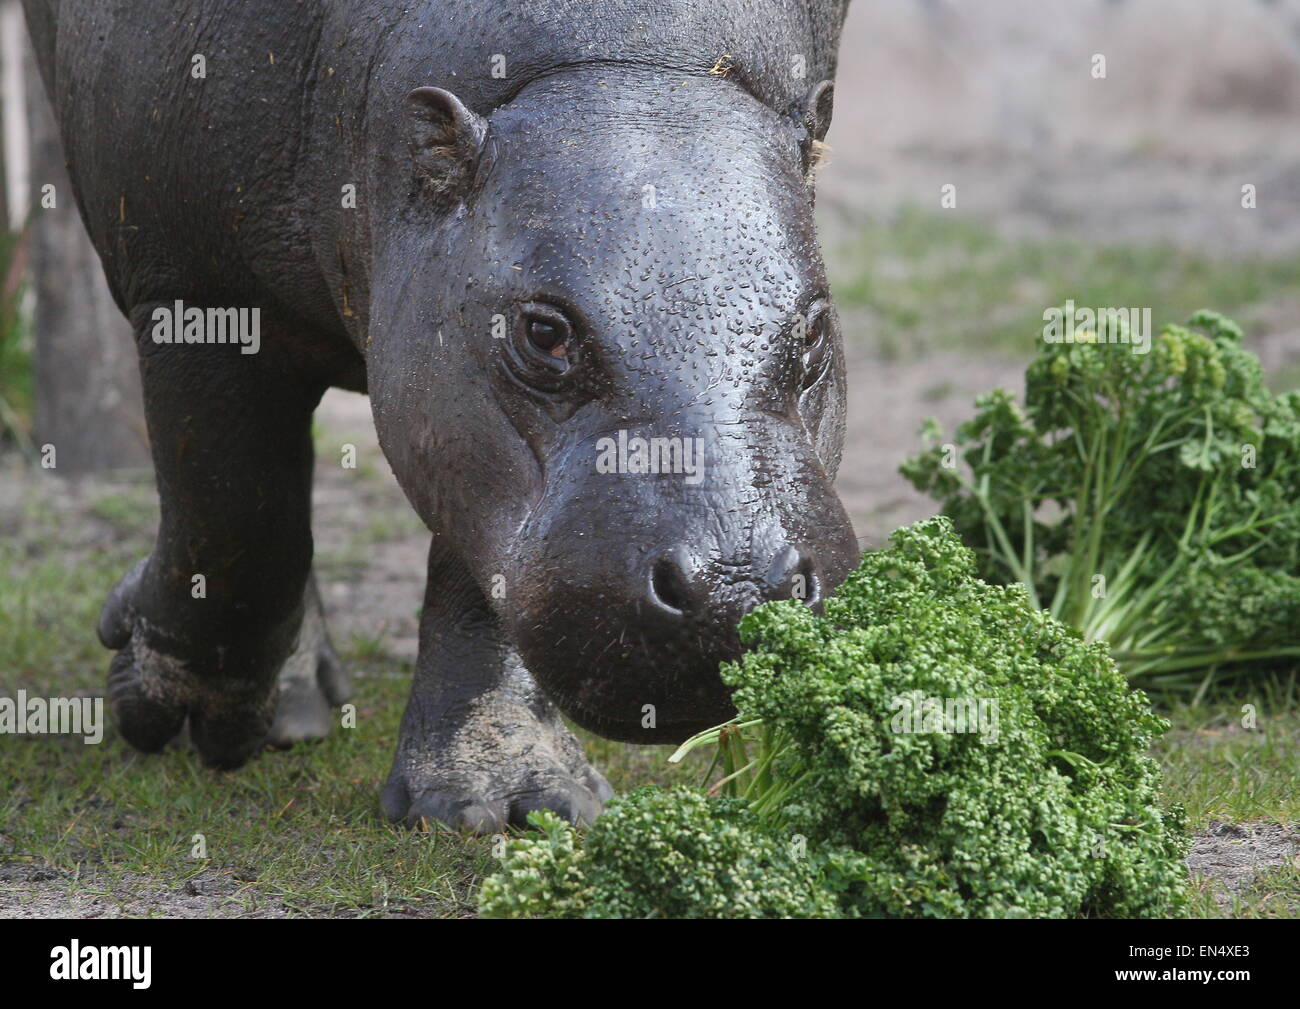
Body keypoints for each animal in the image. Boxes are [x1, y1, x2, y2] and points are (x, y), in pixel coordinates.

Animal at [24, 0, 858, 831]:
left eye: (817, 328)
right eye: (542, 331)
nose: (736, 588)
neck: (629, 61)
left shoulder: (457, 414)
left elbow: (473, 575)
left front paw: (506, 800)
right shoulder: (196, 289)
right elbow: (235, 520)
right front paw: (166, 699)